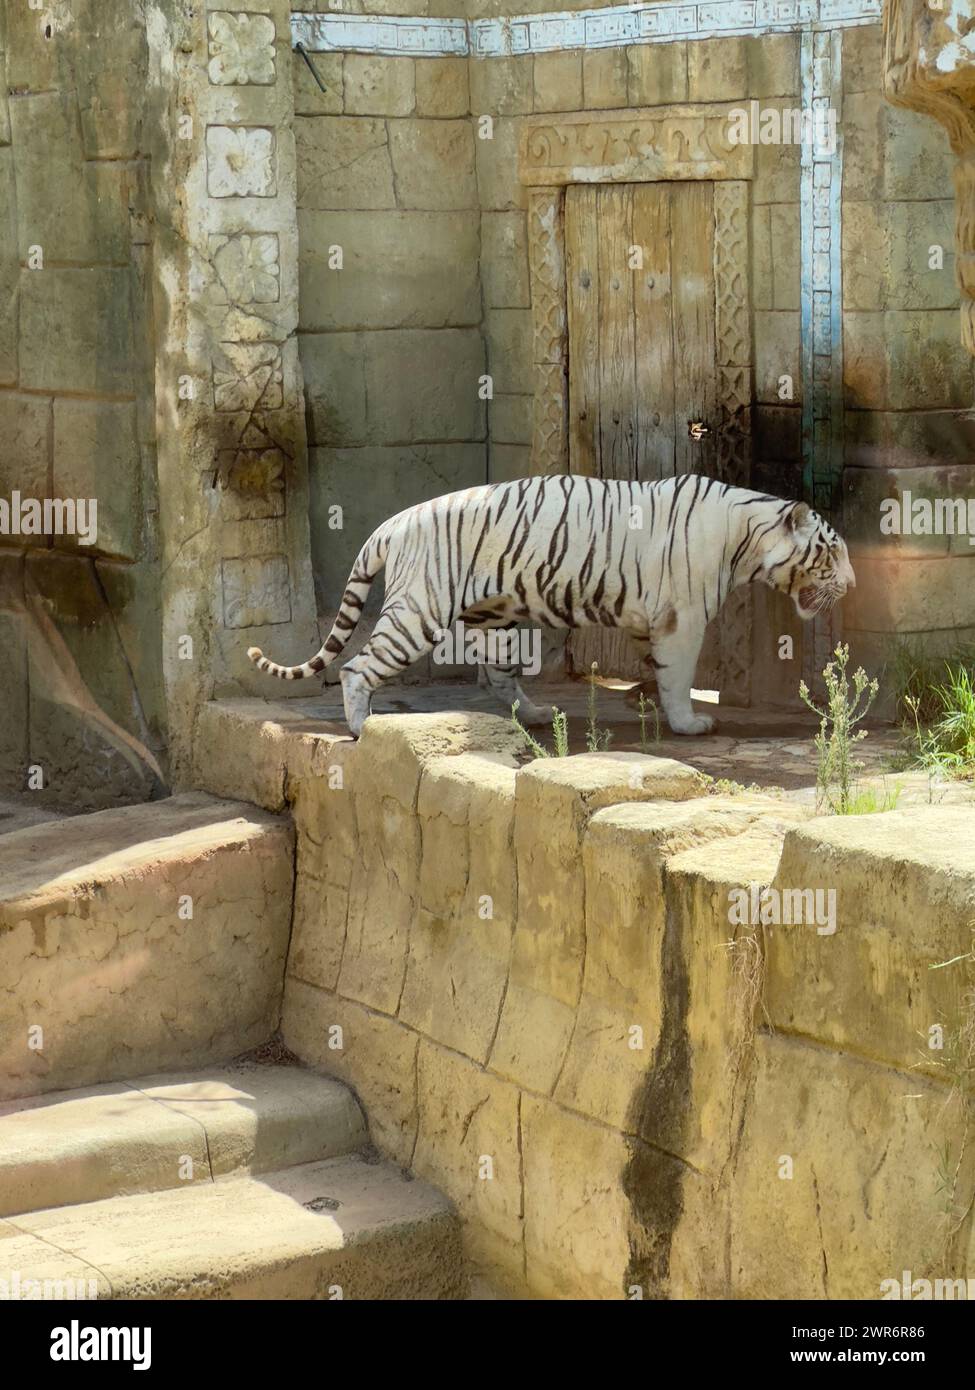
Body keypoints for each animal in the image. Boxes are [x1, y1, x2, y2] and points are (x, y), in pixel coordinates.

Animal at [247, 474, 855, 738]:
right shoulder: (681, 618)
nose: (851, 586)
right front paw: (688, 723)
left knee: (497, 676)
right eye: (832, 552)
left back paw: (538, 715)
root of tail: (392, 523)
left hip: (493, 617)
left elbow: (657, 670)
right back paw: (361, 726)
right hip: (418, 611)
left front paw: (650, 703)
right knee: (356, 667)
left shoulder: (649, 619)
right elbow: (679, 675)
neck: (747, 535)